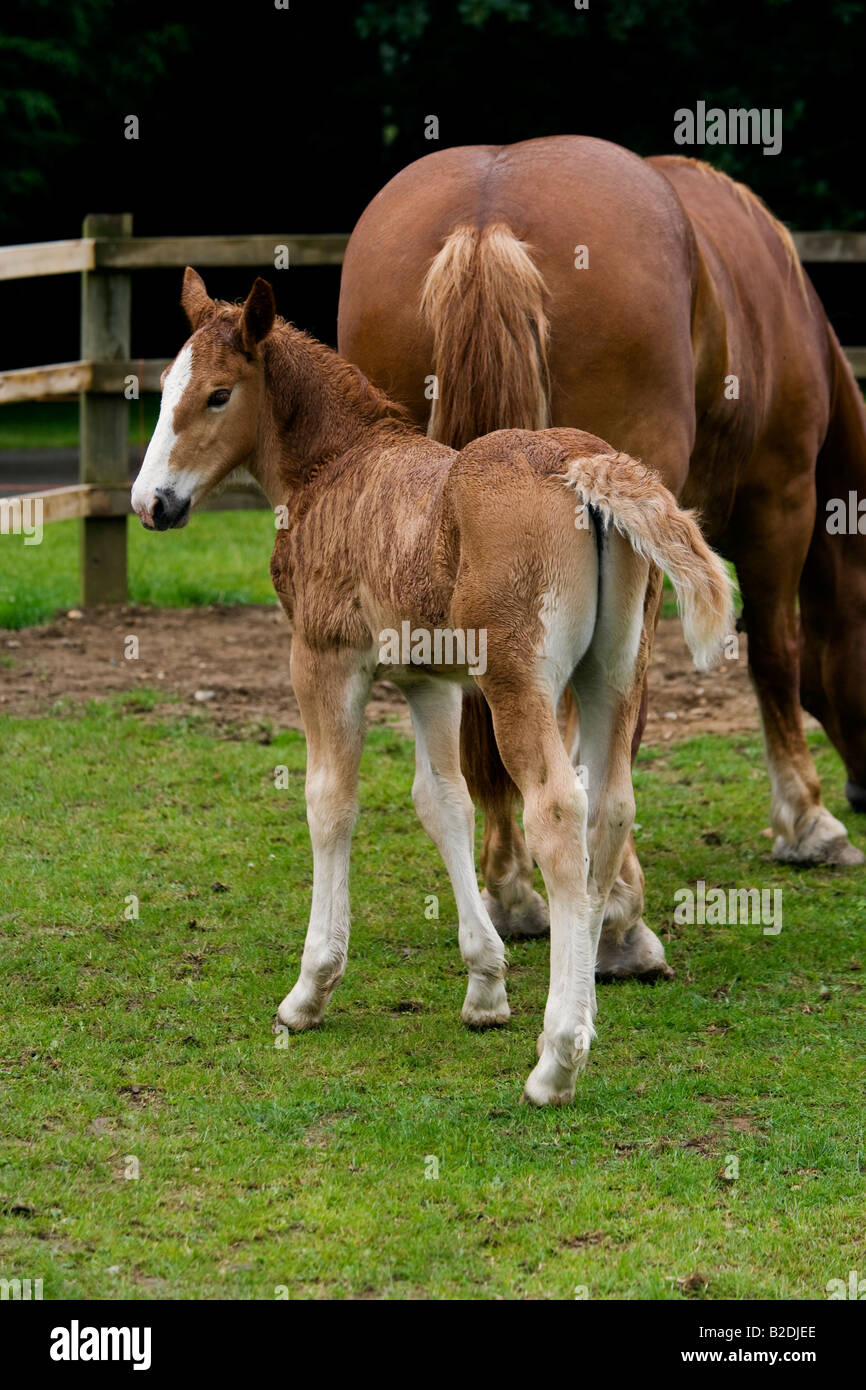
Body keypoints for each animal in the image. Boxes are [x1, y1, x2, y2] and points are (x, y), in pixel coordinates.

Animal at [130, 267, 733, 1105]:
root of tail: (584, 461)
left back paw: (557, 1059)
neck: (336, 469)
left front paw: (309, 990)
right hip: (613, 672)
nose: (150, 504)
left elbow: (330, 803)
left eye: (218, 394)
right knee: (610, 806)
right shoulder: (430, 684)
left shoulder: (324, 660)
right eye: (164, 388)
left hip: (518, 683)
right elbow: (443, 801)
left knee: (558, 811)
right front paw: (485, 987)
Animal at [336, 133, 866, 979]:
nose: (862, 798)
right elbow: (776, 655)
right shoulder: (781, 503)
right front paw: (808, 821)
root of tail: (485, 222)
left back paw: (512, 889)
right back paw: (615, 918)